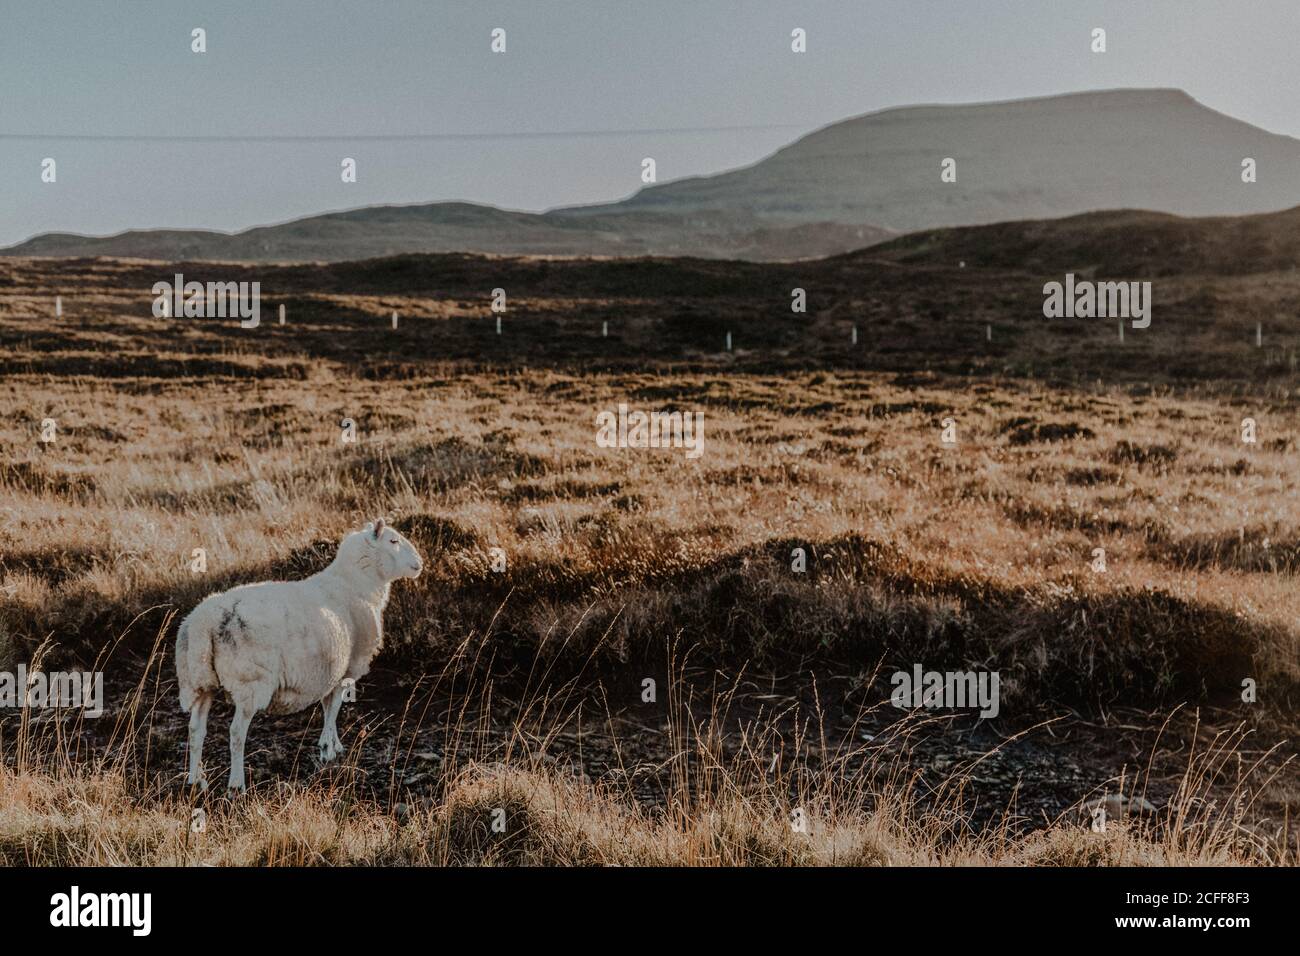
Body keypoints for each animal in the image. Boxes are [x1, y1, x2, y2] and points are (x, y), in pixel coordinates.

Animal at [175, 518, 423, 792]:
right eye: (393, 540)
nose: (419, 563)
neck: (357, 584)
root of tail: (204, 621)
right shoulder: (348, 667)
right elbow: (333, 708)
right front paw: (328, 749)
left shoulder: (331, 670)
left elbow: (328, 706)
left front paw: (333, 745)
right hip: (250, 683)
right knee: (237, 733)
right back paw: (236, 784)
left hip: (198, 681)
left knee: (195, 730)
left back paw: (195, 779)